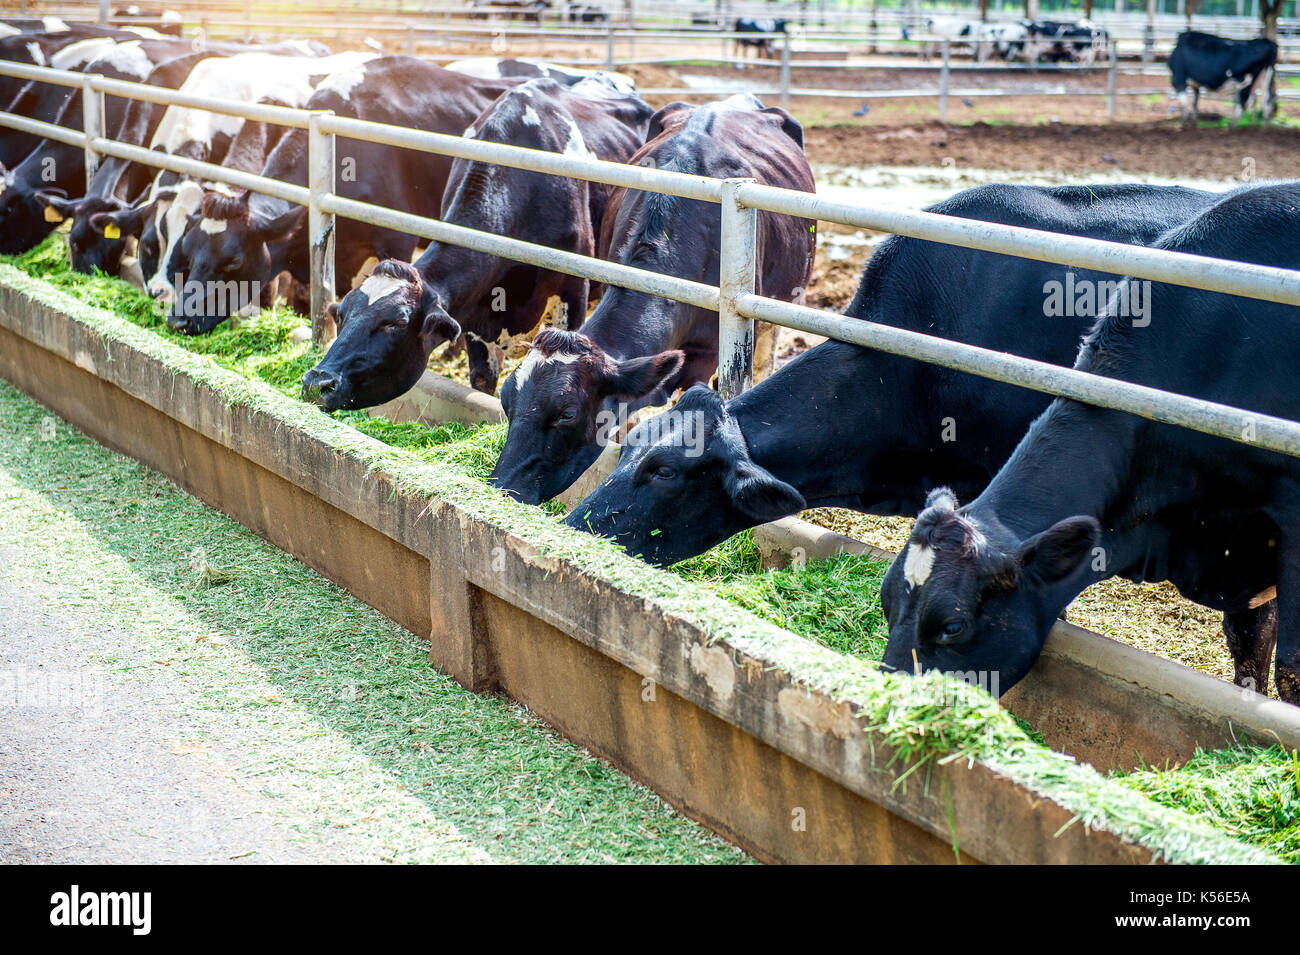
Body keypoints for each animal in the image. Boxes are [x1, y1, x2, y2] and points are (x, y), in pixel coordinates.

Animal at [300, 74, 653, 410]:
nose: (317, 383)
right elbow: (483, 381)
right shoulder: (477, 315)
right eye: (342, 314)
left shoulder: (572, 294)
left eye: (396, 322)